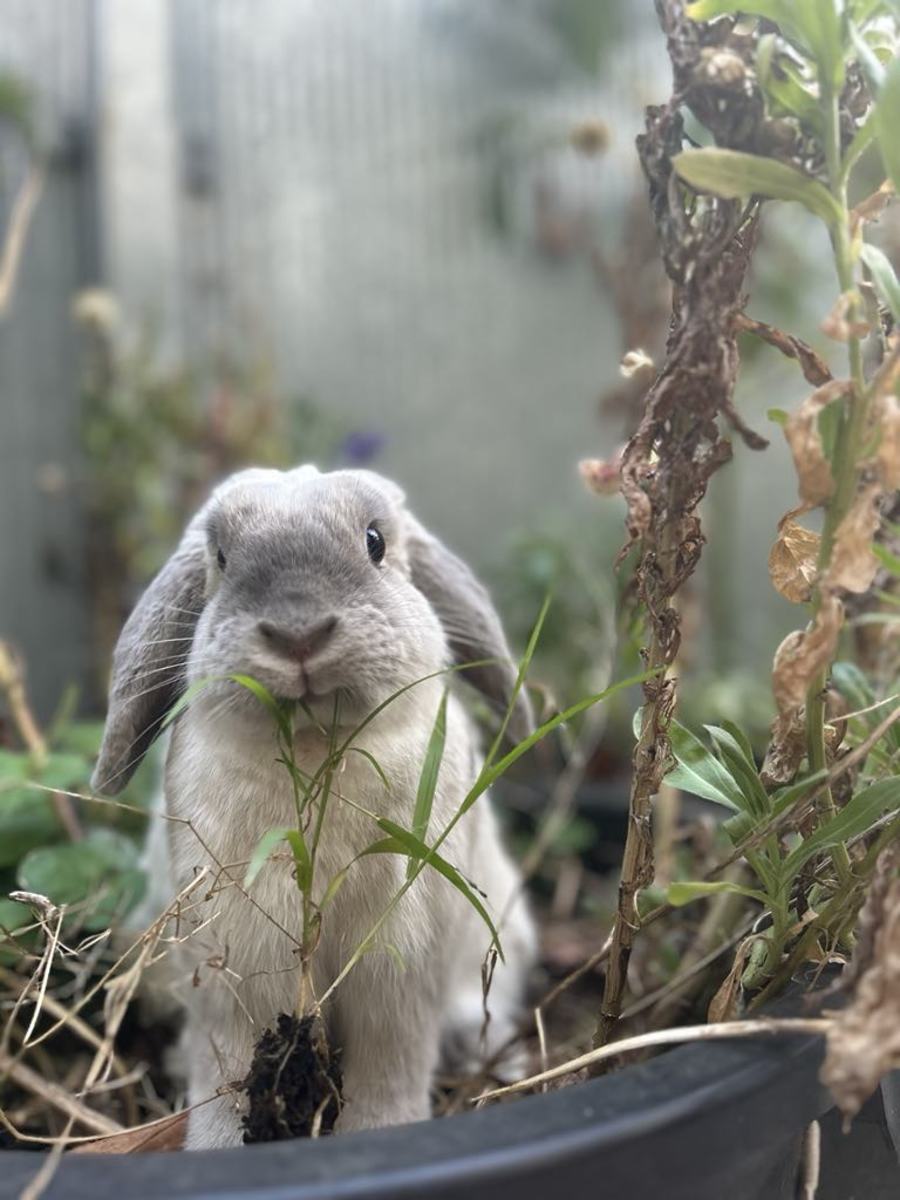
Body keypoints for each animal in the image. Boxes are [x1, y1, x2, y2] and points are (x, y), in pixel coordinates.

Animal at [92, 465, 537, 1149]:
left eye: (376, 541)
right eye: (221, 558)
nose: (297, 633)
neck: (311, 748)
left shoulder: (400, 969)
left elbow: (392, 1063)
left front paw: (380, 1133)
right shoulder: (237, 970)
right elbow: (225, 1065)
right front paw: (218, 1147)